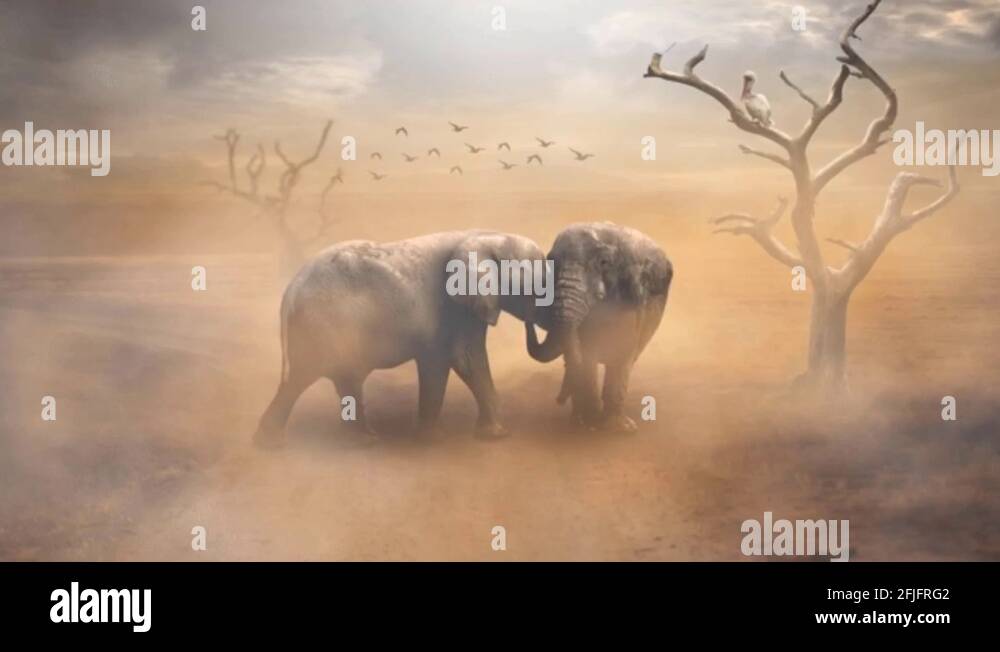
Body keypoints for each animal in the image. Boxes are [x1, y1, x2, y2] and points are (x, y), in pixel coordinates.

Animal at [254, 230, 550, 446]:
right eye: (539, 285)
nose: (532, 322)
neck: (486, 235)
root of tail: (290, 291)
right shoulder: (450, 308)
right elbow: (447, 362)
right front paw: (433, 440)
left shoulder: (470, 307)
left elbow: (467, 360)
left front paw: (494, 435)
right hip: (323, 325)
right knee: (303, 378)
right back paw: (274, 443)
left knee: (336, 381)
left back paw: (360, 439)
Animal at [525, 222, 672, 432]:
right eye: (551, 261)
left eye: (604, 262)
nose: (559, 400)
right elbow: (586, 356)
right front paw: (589, 423)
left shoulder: (633, 300)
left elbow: (622, 350)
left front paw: (620, 430)